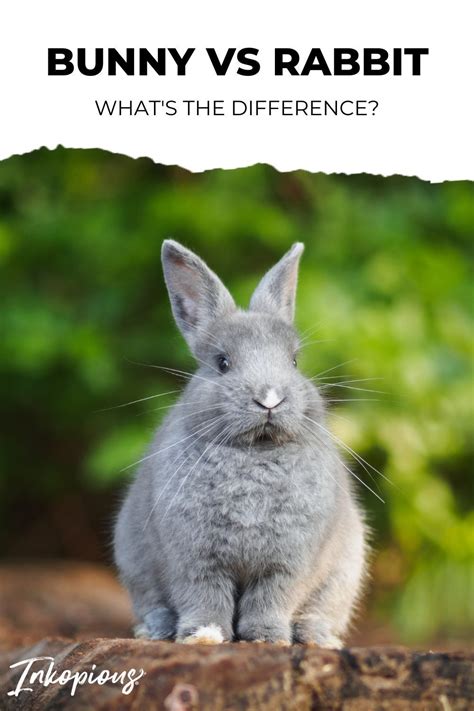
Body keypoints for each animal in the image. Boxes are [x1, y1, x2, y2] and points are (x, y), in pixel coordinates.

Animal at [114, 239, 367, 647]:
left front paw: (267, 638)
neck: (255, 452)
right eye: (222, 363)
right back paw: (155, 630)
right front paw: (203, 636)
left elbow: (271, 598)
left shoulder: (287, 564)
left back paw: (317, 638)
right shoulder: (194, 560)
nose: (269, 398)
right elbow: (203, 596)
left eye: (294, 362)